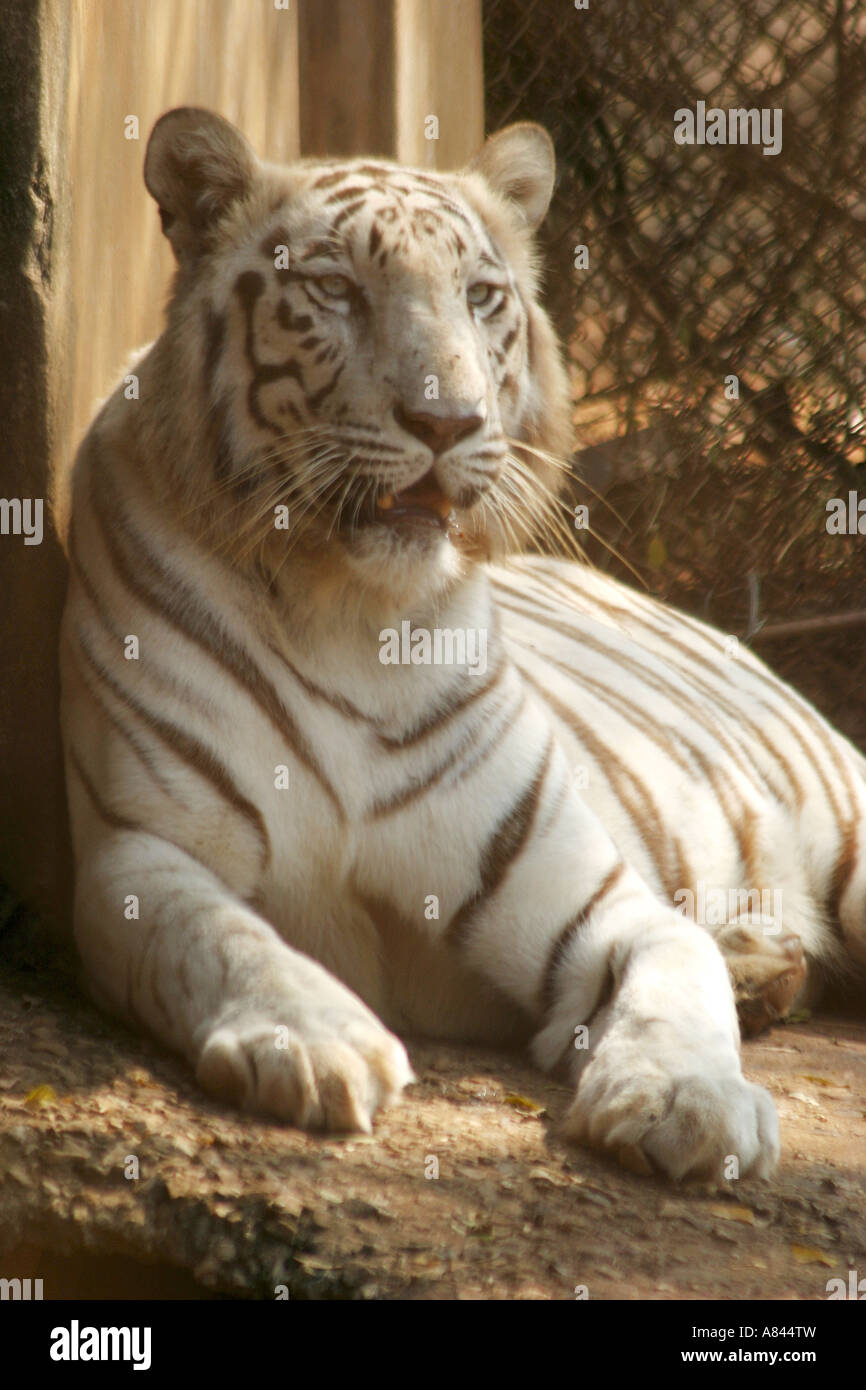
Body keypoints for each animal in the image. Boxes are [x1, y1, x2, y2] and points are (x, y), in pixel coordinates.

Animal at [59, 107, 866, 1184]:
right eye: (334, 290)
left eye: (481, 297)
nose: (446, 422)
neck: (346, 615)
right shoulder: (138, 853)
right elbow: (224, 937)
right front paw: (314, 1040)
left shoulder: (592, 900)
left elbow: (675, 968)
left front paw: (687, 1100)